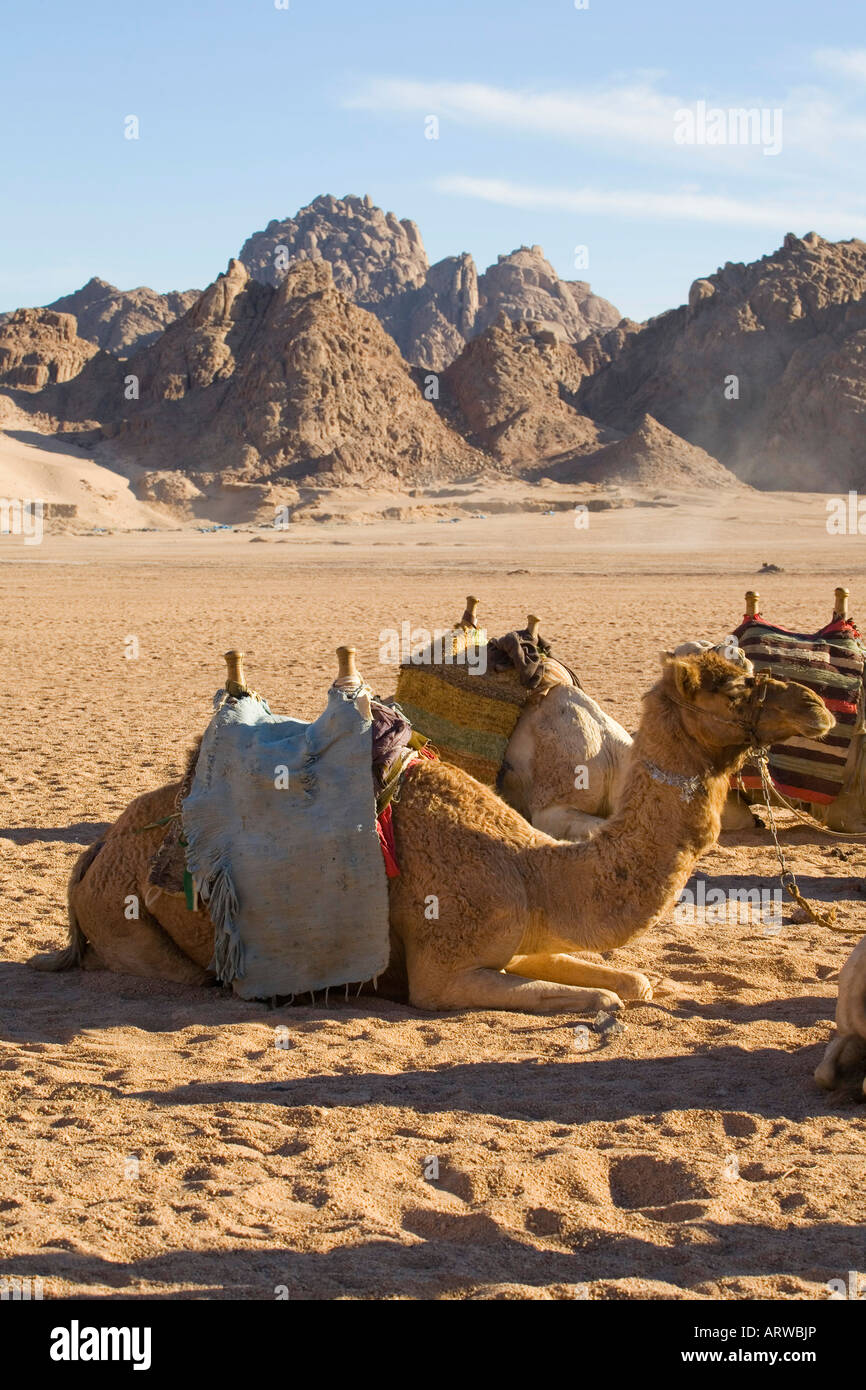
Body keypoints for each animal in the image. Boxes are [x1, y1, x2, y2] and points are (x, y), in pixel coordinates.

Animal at [32, 647, 832, 1015]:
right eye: (735, 687)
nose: (818, 707)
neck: (532, 870)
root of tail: (96, 850)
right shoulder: (445, 972)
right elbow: (603, 998)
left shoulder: (520, 941)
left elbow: (630, 979)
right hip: (133, 926)